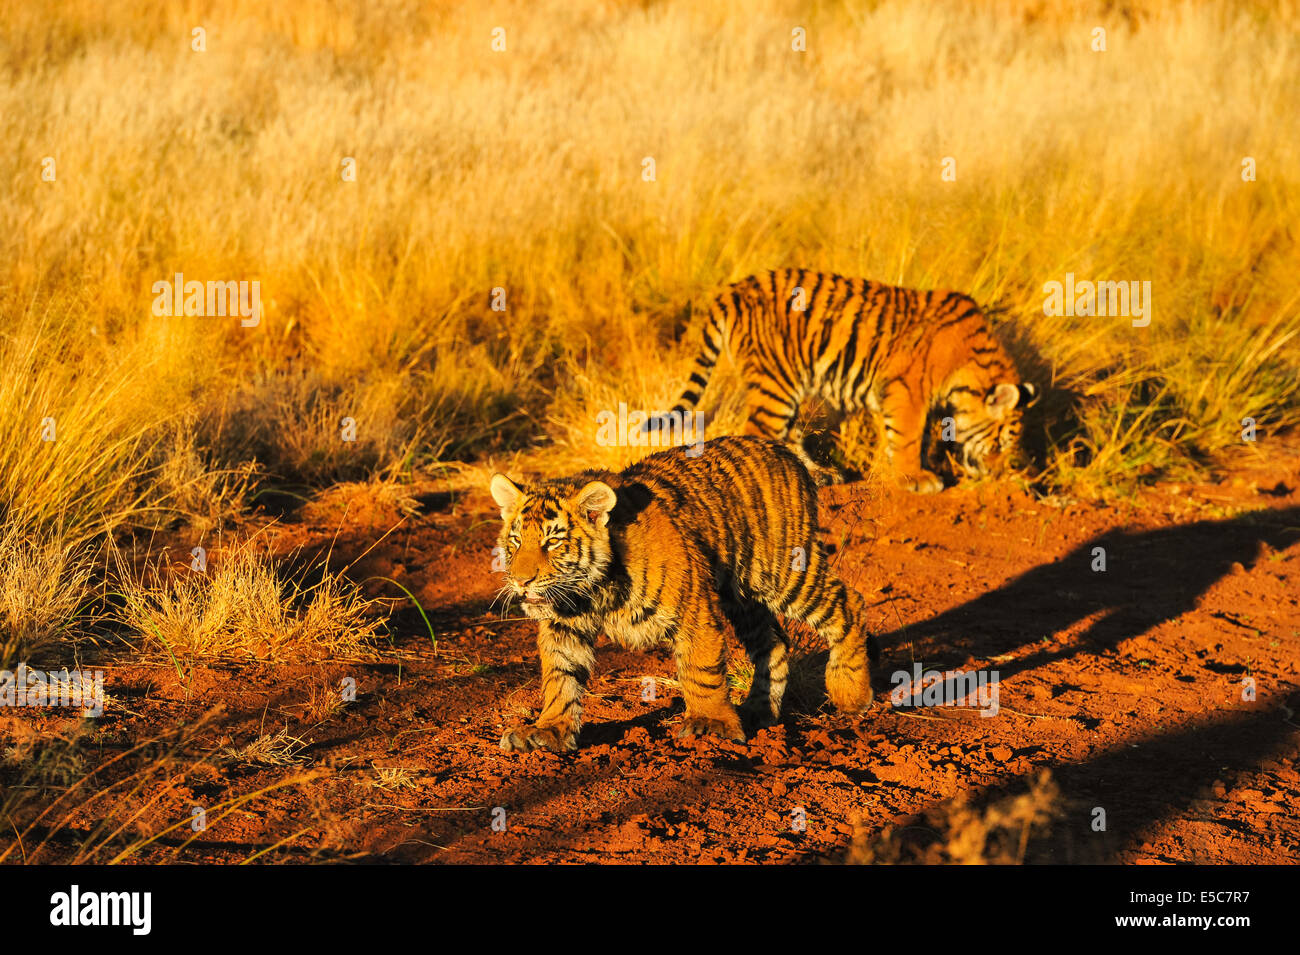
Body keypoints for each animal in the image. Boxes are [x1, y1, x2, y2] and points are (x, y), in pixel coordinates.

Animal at [489, 435, 875, 753]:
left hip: (783, 573)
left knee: (849, 604)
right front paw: (548, 730)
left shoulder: (694, 611)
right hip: (744, 597)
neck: (595, 590)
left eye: (552, 542)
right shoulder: (563, 625)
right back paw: (758, 711)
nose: (520, 581)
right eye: (516, 540)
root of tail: (783, 450)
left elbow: (700, 669)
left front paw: (710, 724)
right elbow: (560, 677)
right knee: (775, 642)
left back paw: (851, 694)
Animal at [645, 268, 1038, 492]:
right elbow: (909, 438)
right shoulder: (907, 390)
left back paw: (820, 475)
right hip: (776, 385)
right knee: (758, 434)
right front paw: (916, 478)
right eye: (1000, 443)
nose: (998, 473)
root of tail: (734, 289)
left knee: (788, 437)